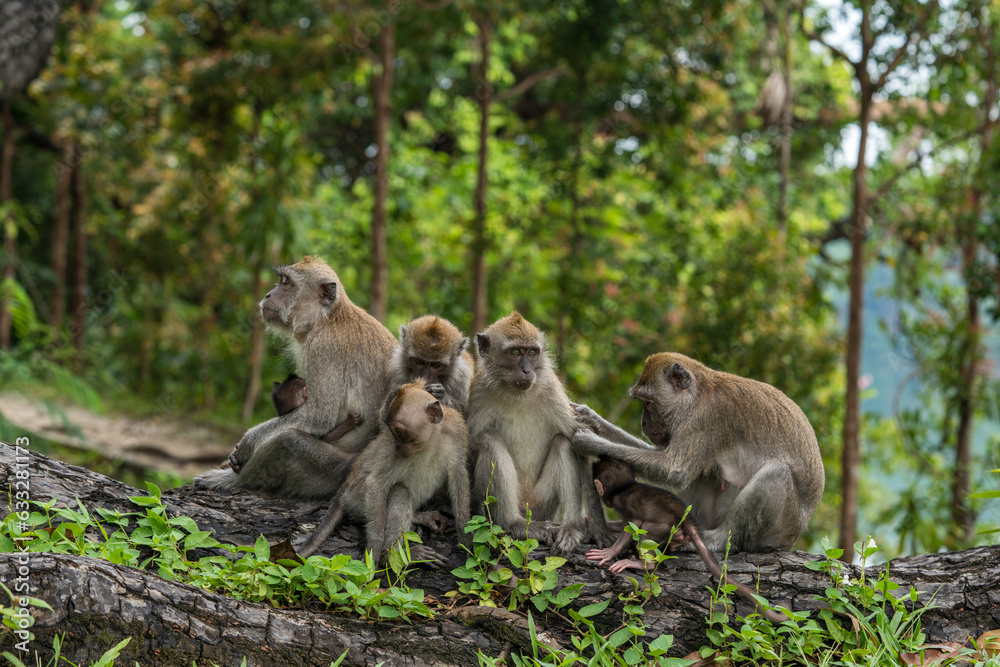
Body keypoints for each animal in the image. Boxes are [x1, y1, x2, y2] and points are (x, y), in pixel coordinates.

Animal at [194, 256, 398, 498]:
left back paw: (232, 481)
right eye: (281, 280)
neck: (327, 318)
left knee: (287, 441)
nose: (268, 294)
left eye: (287, 283)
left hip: (333, 472)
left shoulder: (323, 347)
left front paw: (247, 443)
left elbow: (319, 416)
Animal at [298, 379, 471, 567]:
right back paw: (393, 556)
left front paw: (466, 538)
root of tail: (342, 493)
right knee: (400, 492)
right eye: (393, 431)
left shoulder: (457, 431)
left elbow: (459, 475)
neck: (432, 439)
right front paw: (375, 551)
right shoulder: (395, 456)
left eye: (400, 431)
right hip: (358, 501)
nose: (398, 446)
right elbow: (376, 482)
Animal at [466, 312, 613, 556]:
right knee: (489, 439)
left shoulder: (551, 389)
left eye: (532, 353)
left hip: (542, 503)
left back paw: (571, 528)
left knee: (562, 443)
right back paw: (514, 524)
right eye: (516, 352)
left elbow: (576, 442)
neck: (516, 392)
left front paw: (598, 529)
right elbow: (471, 450)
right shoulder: (479, 392)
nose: (527, 370)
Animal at [571, 352, 824, 553]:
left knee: (776, 473)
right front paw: (592, 419)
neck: (697, 395)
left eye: (649, 403)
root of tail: (791, 538)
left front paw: (588, 441)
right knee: (707, 472)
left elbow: (674, 470)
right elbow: (667, 458)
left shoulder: (705, 419)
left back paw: (715, 542)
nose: (644, 423)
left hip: (780, 529)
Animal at [587, 457, 787, 624]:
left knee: (647, 529)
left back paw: (643, 563)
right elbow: (622, 525)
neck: (624, 487)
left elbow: (633, 524)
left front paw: (609, 552)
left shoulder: (623, 503)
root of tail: (687, 519)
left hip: (667, 527)